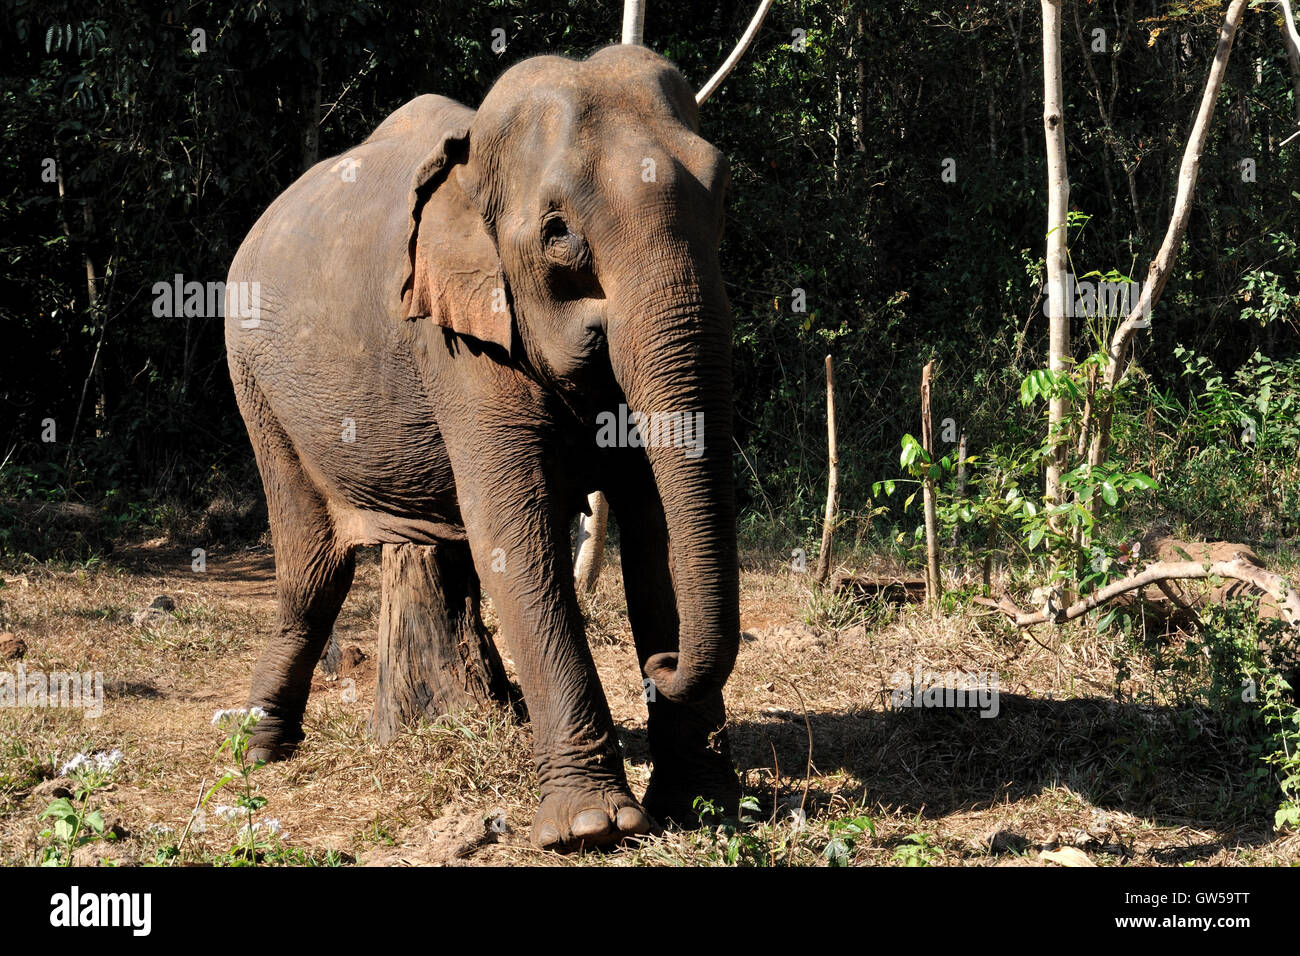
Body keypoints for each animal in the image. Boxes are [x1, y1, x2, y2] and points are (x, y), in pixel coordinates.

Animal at [224, 44, 741, 851]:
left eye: (722, 194)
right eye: (558, 231)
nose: (663, 663)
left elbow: (656, 530)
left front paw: (703, 807)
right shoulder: (456, 337)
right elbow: (514, 531)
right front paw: (591, 828)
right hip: (256, 388)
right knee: (311, 571)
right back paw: (260, 749)